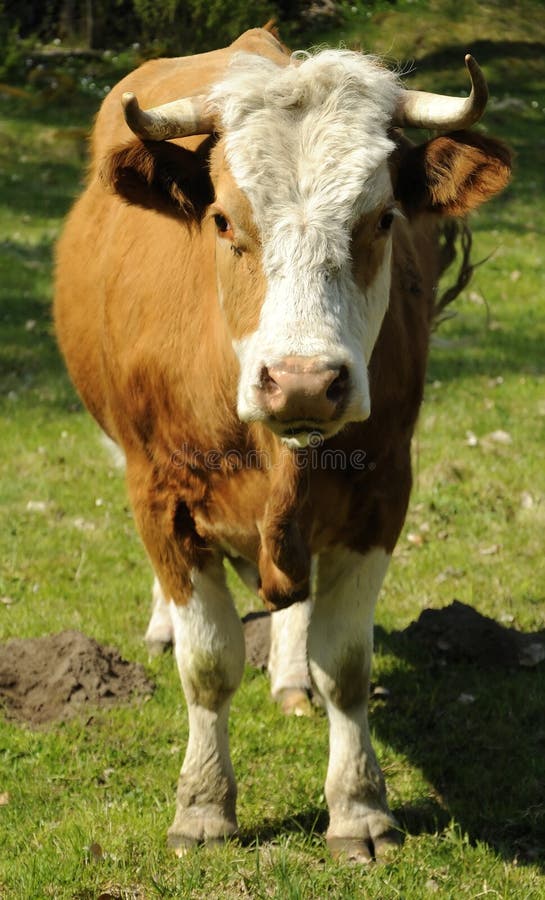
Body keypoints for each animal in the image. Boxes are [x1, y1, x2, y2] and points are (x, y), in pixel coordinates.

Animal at [54, 24, 511, 862]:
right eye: (224, 220)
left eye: (382, 219)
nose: (301, 382)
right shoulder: (160, 494)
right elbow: (208, 665)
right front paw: (203, 807)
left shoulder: (380, 491)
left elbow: (346, 664)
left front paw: (358, 807)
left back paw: (291, 679)